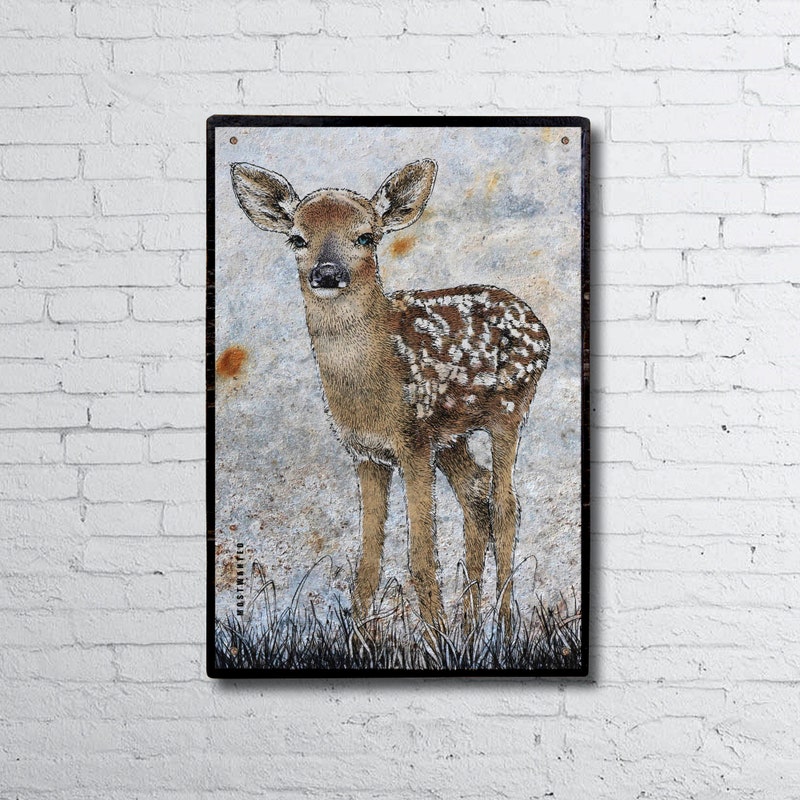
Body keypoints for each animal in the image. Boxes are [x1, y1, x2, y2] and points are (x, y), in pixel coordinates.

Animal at [230, 159, 550, 636]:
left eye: (366, 236)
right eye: (297, 238)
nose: (327, 273)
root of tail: (538, 325)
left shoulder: (412, 439)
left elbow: (421, 556)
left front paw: (435, 640)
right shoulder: (366, 452)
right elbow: (368, 561)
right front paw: (362, 637)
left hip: (511, 408)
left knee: (506, 504)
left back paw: (505, 626)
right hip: (451, 435)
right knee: (476, 496)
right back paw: (471, 626)